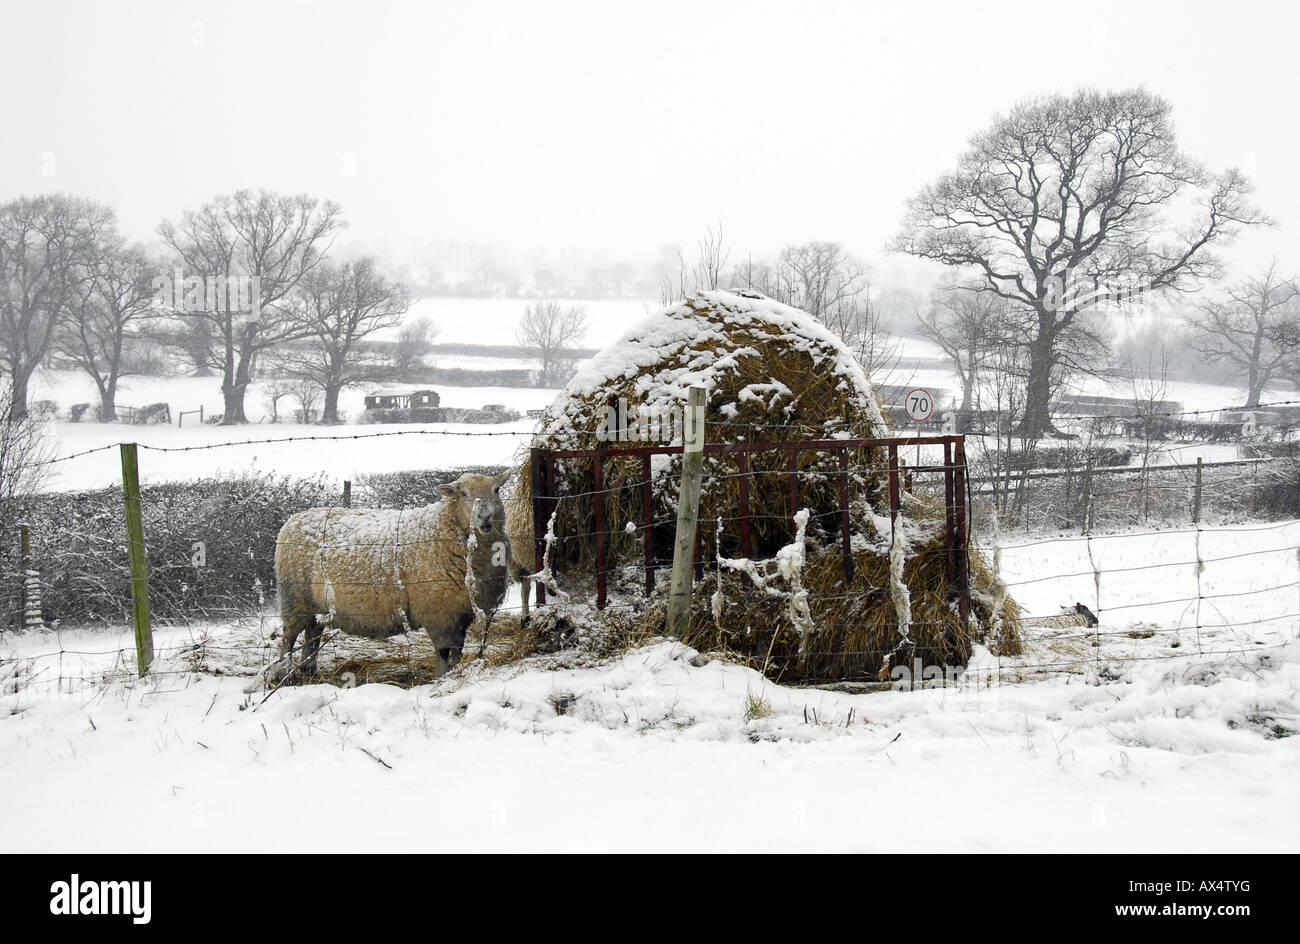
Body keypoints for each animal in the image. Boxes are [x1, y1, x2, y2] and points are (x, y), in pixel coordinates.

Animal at [272, 471, 511, 682]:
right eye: (462, 493)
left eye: (496, 490)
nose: (485, 519)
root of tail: (295, 519)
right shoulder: (437, 612)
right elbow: (444, 650)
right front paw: (442, 677)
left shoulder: (460, 612)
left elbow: (458, 649)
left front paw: (455, 670)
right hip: (294, 597)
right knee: (288, 637)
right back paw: (284, 673)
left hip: (315, 604)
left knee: (312, 634)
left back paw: (309, 671)